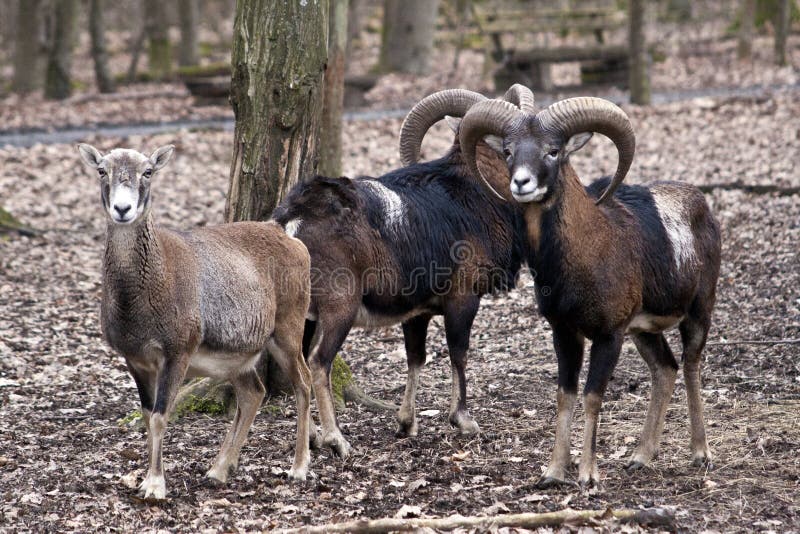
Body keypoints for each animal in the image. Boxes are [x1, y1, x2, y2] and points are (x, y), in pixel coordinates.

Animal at [77, 144, 314, 499]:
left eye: (148, 171)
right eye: (102, 170)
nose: (122, 208)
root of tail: (290, 238)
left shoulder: (178, 351)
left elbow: (160, 417)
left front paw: (155, 487)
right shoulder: (134, 359)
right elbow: (146, 416)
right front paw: (146, 480)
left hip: (288, 328)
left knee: (303, 382)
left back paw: (298, 468)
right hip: (239, 357)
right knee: (253, 393)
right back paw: (217, 471)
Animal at [272, 88, 536, 456]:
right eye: (510, 146)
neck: (476, 195)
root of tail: (294, 224)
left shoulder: (417, 314)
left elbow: (416, 359)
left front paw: (407, 424)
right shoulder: (463, 300)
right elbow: (459, 353)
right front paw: (464, 421)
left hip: (304, 317)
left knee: (298, 366)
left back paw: (311, 436)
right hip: (339, 311)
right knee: (318, 363)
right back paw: (337, 440)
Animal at [456, 88, 722, 487]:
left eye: (553, 150)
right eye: (507, 150)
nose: (521, 183)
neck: (585, 253)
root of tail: (703, 206)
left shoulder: (609, 336)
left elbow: (592, 397)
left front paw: (588, 476)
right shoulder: (565, 334)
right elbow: (565, 396)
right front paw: (552, 473)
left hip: (697, 314)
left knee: (690, 365)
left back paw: (700, 453)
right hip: (644, 332)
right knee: (665, 369)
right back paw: (640, 458)